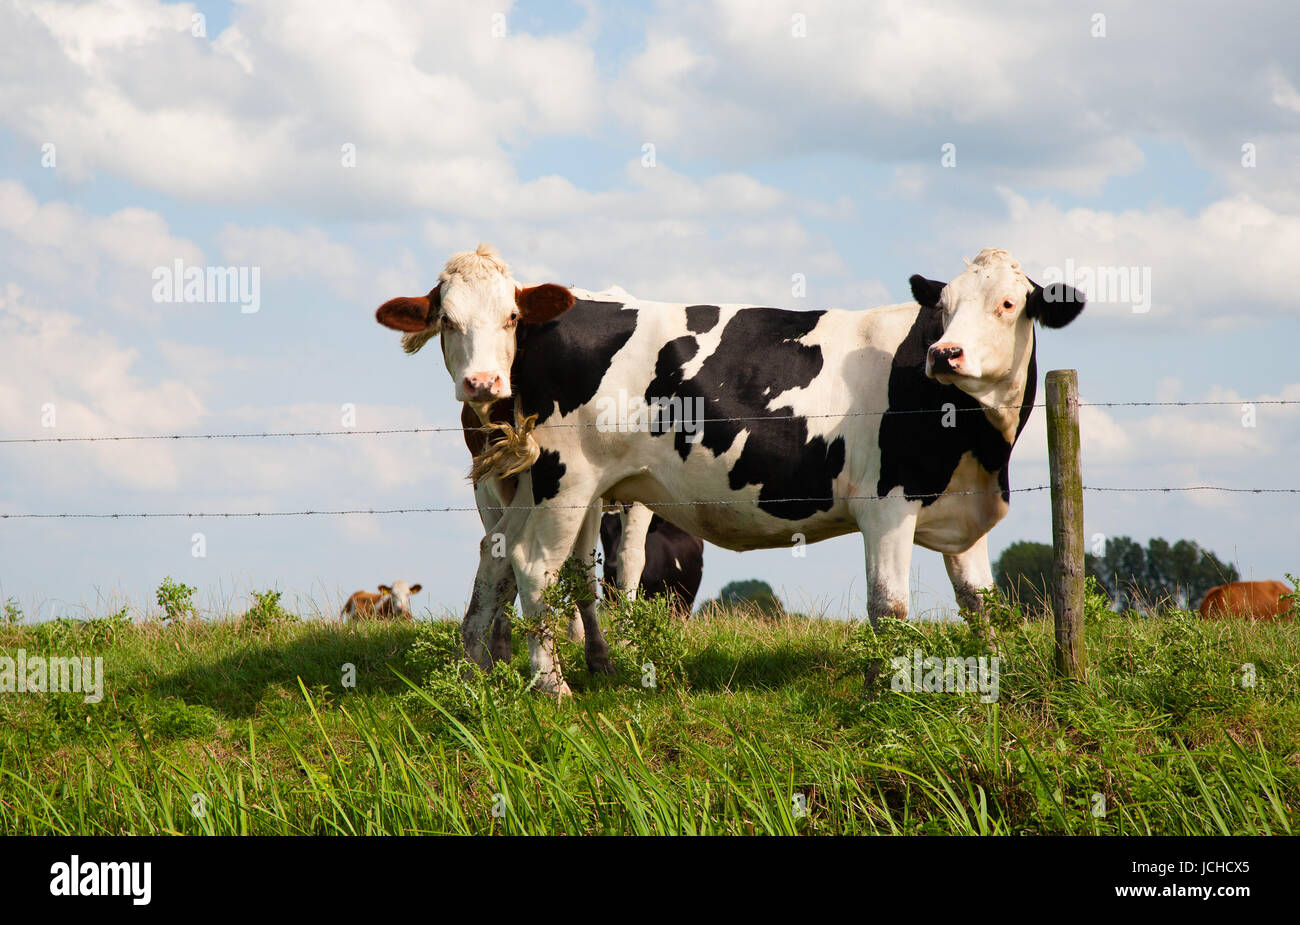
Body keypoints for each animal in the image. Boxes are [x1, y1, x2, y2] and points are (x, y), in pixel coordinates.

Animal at [376, 245, 1084, 694]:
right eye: (943, 308)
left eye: (1009, 304)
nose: (946, 352)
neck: (978, 447)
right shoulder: (887, 504)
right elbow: (890, 605)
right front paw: (887, 691)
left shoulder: (962, 510)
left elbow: (980, 604)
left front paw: (988, 680)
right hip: (565, 480)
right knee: (533, 567)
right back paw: (551, 689)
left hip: (528, 482)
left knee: (496, 559)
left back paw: (475, 673)